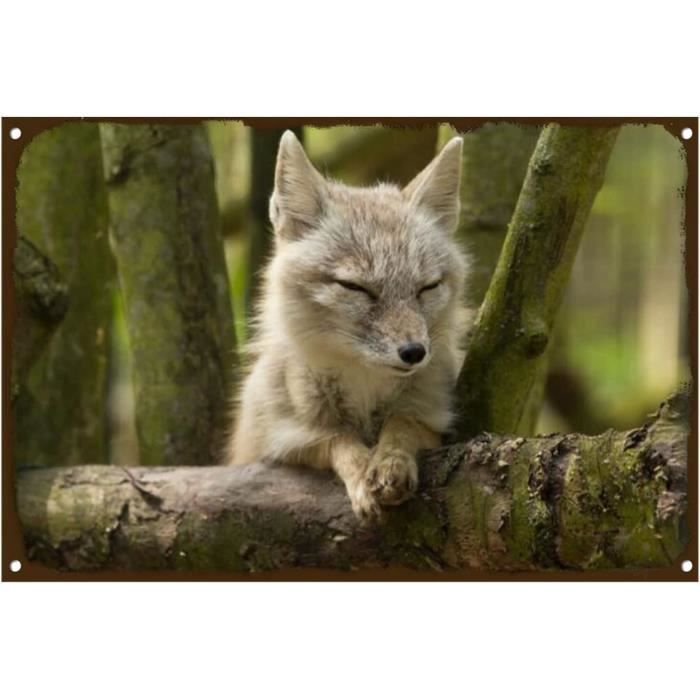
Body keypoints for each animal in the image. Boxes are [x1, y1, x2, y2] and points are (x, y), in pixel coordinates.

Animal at [224, 130, 471, 521]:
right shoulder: (278, 442)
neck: (364, 383)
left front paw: (391, 460)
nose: (414, 352)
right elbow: (335, 437)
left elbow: (404, 422)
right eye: (356, 287)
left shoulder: (434, 421)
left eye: (427, 287)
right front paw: (361, 474)